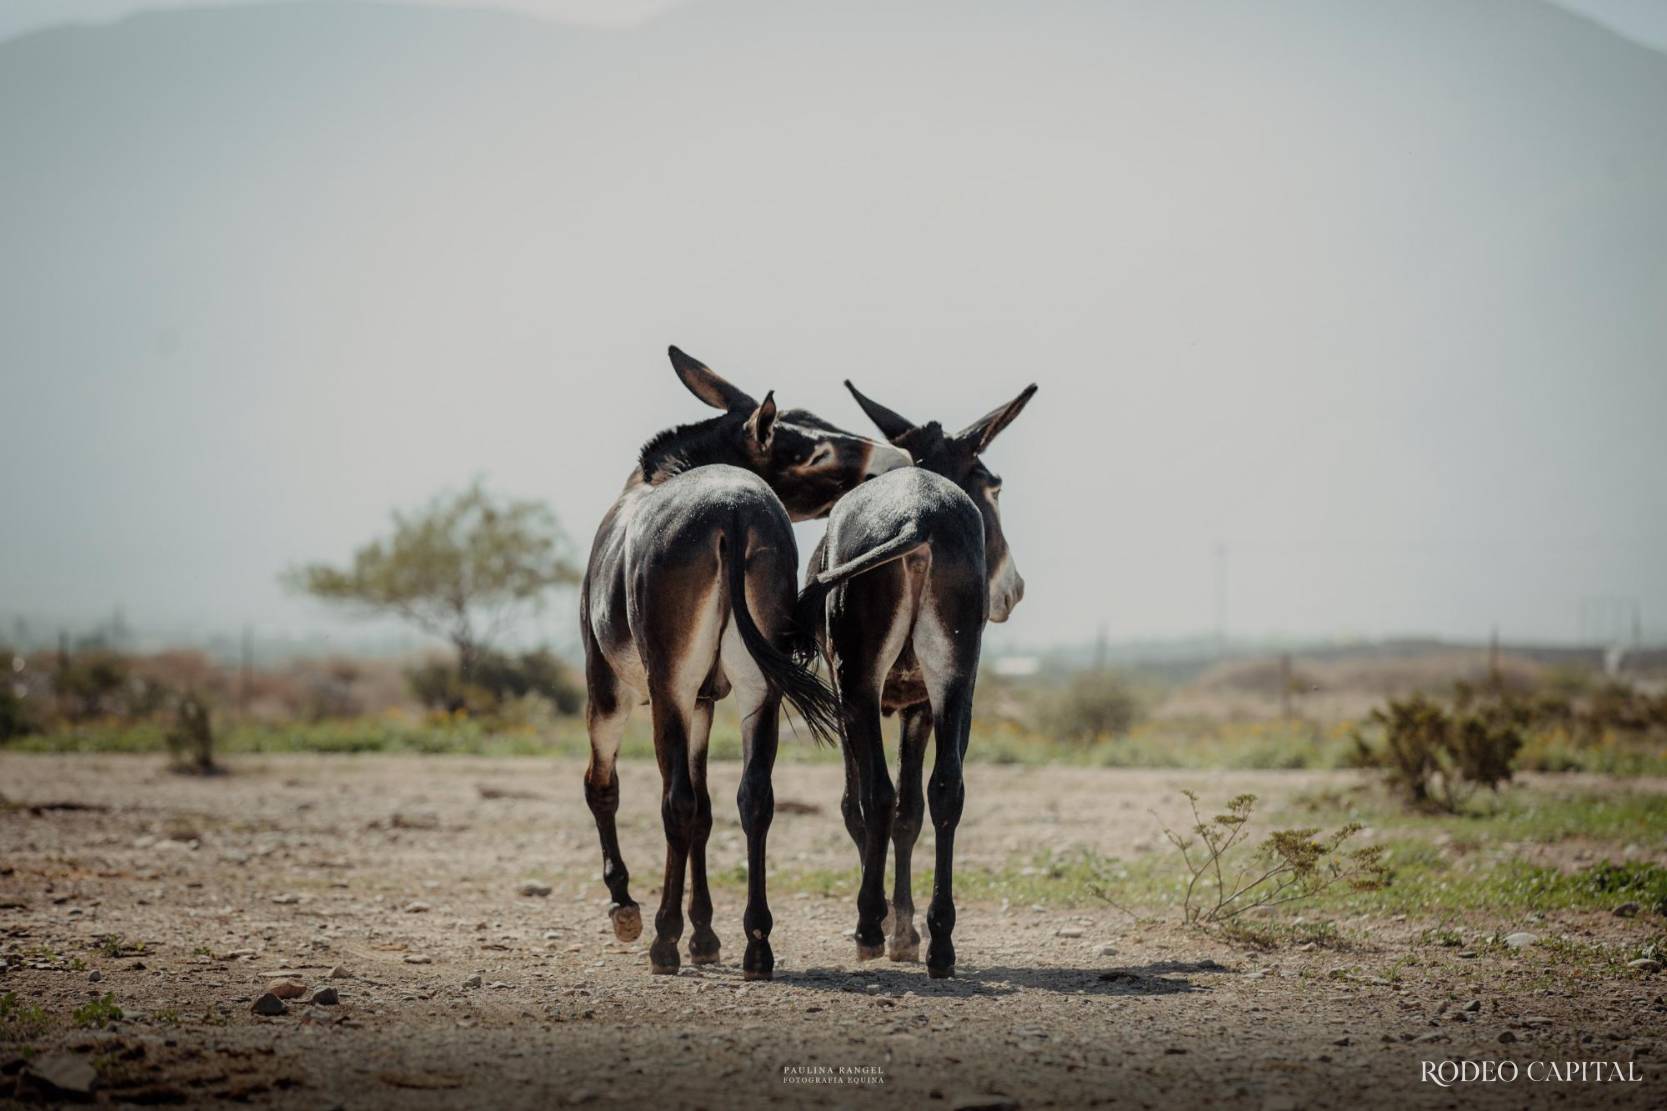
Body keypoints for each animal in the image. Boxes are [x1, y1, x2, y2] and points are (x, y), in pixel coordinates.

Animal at [580, 347, 911, 979]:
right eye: (812, 446)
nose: (900, 458)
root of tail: (732, 510)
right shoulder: (707, 702)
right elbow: (710, 809)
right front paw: (706, 935)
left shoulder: (612, 687)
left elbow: (606, 787)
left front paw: (628, 910)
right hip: (757, 690)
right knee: (753, 799)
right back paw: (757, 944)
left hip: (669, 687)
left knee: (675, 802)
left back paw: (663, 940)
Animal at [797, 379, 1035, 978]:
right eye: (995, 486)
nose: (1015, 591)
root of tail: (916, 519)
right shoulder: (921, 704)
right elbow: (912, 810)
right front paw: (907, 933)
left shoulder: (860, 699)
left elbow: (861, 805)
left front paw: (890, 929)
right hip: (954, 684)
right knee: (946, 790)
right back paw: (941, 945)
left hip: (858, 684)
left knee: (877, 796)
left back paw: (868, 928)